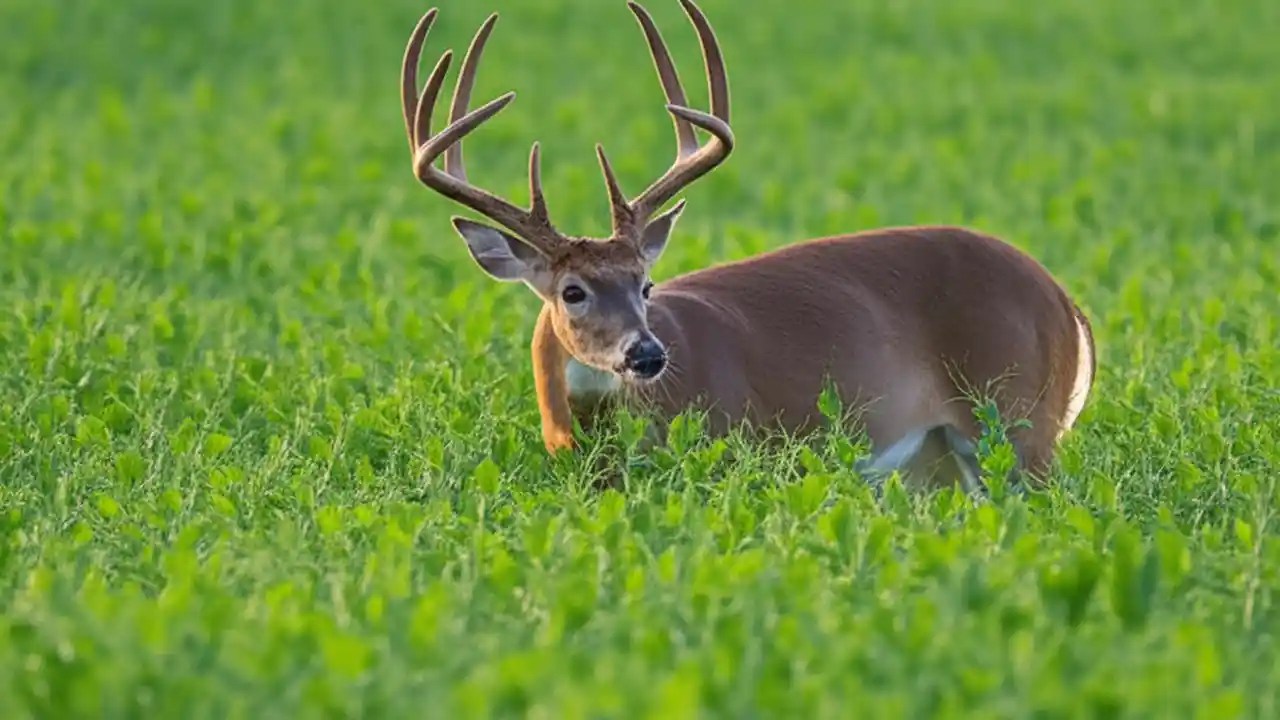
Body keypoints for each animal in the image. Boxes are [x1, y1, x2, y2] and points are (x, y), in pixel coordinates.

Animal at [397, 1, 1096, 491]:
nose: (647, 353)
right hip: (938, 461)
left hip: (1020, 421)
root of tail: (1065, 301)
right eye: (574, 291)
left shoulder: (727, 446)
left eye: (646, 284)